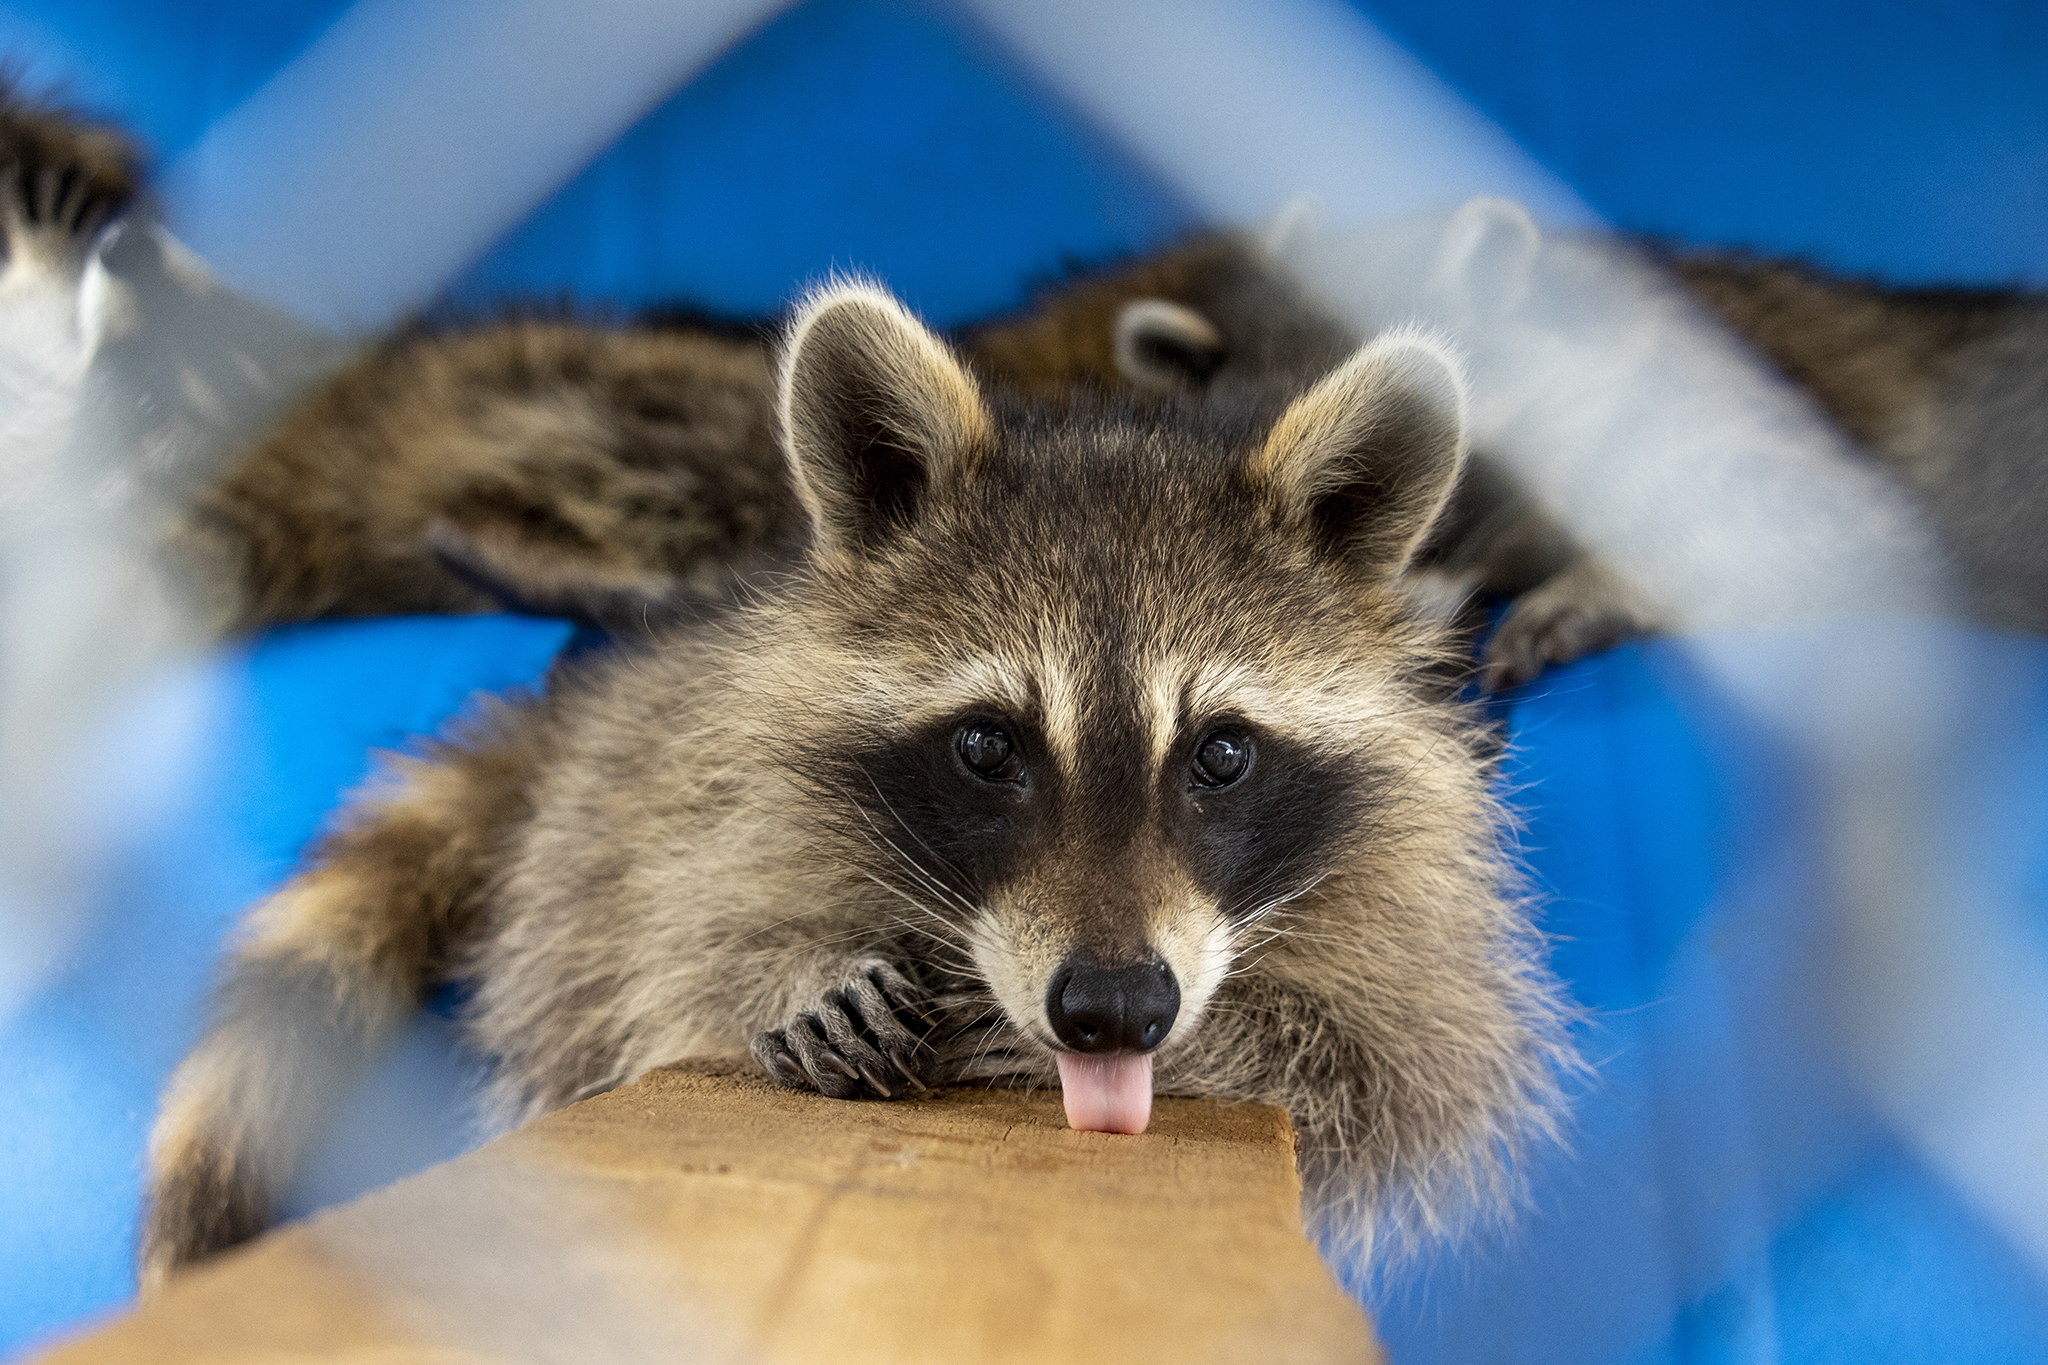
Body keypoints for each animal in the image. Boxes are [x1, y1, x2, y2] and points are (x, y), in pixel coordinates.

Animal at [140, 280, 1573, 1288]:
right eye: (989, 747)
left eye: (1219, 753)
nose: (1113, 1012)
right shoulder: (708, 788)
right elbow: (682, 933)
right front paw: (794, 974)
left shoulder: (1412, 902)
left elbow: (1389, 1070)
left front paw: (1206, 1043)